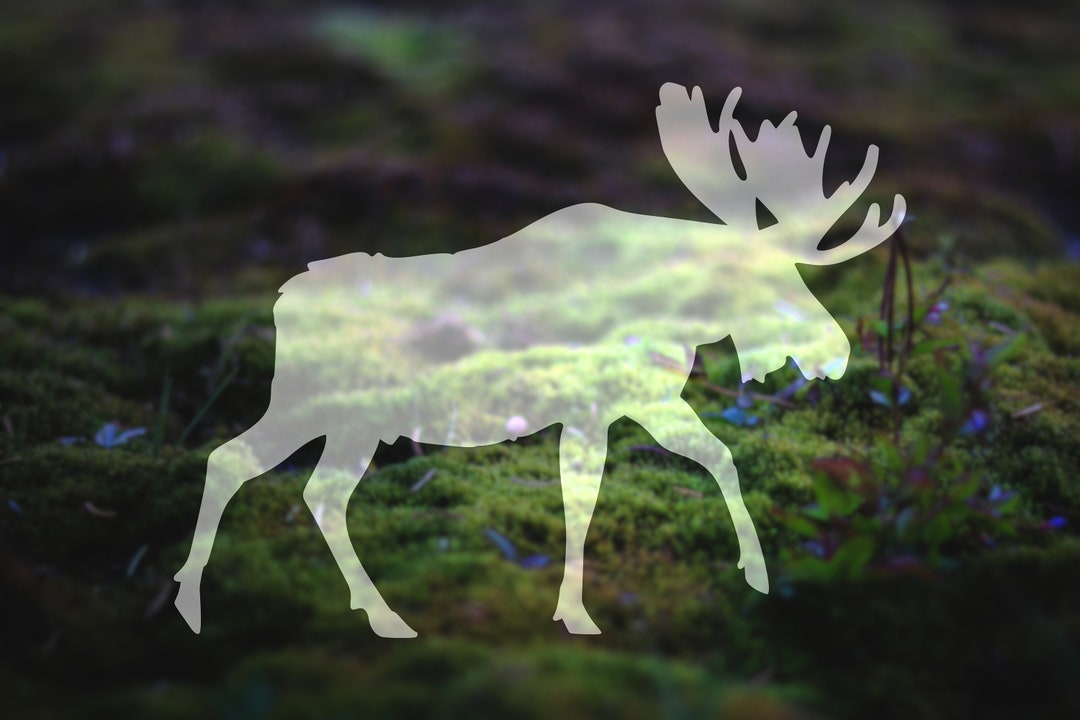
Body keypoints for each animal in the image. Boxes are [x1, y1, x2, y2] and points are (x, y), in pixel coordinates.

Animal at [174, 83, 905, 638]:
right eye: (774, 278)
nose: (839, 352)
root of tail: (282, 298)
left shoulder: (630, 400)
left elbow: (706, 460)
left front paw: (752, 572)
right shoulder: (605, 398)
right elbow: (590, 495)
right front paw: (578, 613)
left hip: (345, 418)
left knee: (275, 476)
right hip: (327, 407)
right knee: (272, 474)